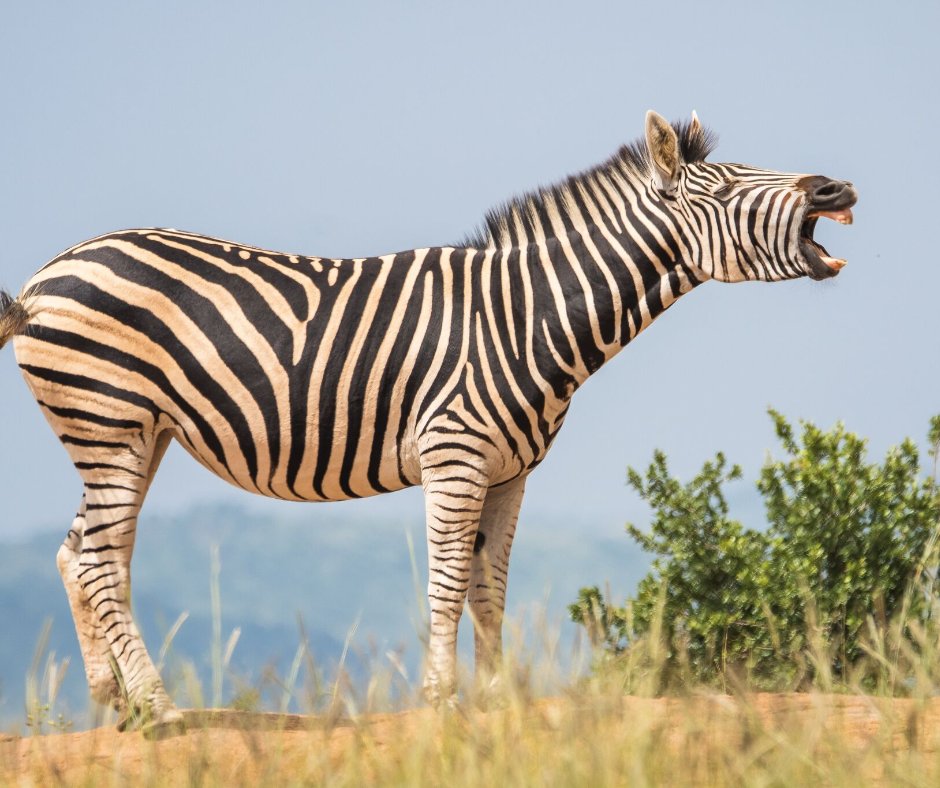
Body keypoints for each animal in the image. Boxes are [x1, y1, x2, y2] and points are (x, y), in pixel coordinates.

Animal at [0, 110, 855, 737]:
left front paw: (498, 696)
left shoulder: (511, 473)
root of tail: (44, 276)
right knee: (101, 558)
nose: (837, 186)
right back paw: (158, 707)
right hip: (108, 418)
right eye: (727, 188)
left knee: (81, 552)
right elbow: (447, 583)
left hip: (133, 432)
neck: (526, 317)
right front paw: (442, 699)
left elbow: (489, 588)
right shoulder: (456, 455)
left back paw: (114, 701)